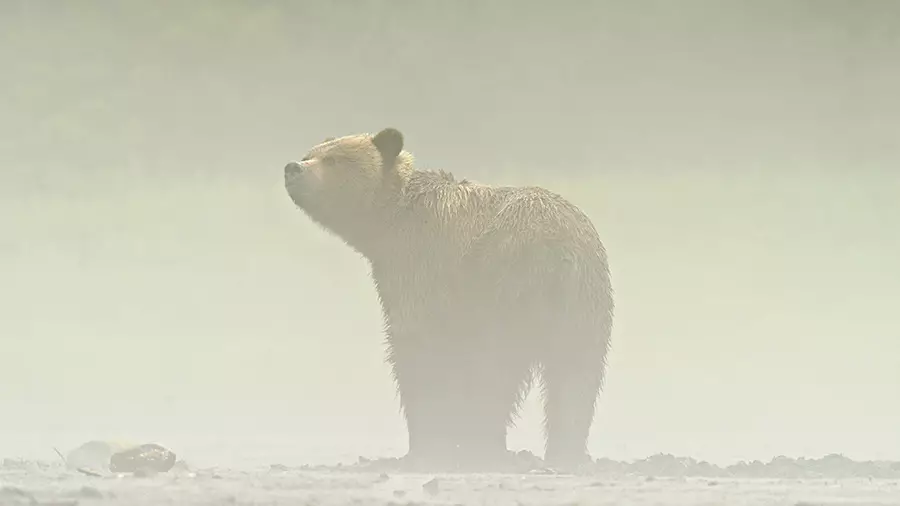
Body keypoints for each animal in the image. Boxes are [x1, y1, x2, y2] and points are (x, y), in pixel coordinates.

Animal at [284, 128, 616, 472]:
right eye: (310, 153)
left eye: (334, 160)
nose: (293, 167)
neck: (386, 224)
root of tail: (559, 250)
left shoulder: (423, 268)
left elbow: (419, 351)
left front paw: (428, 444)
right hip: (586, 300)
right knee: (576, 373)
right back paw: (566, 451)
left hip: (505, 284)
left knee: (496, 365)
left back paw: (485, 444)